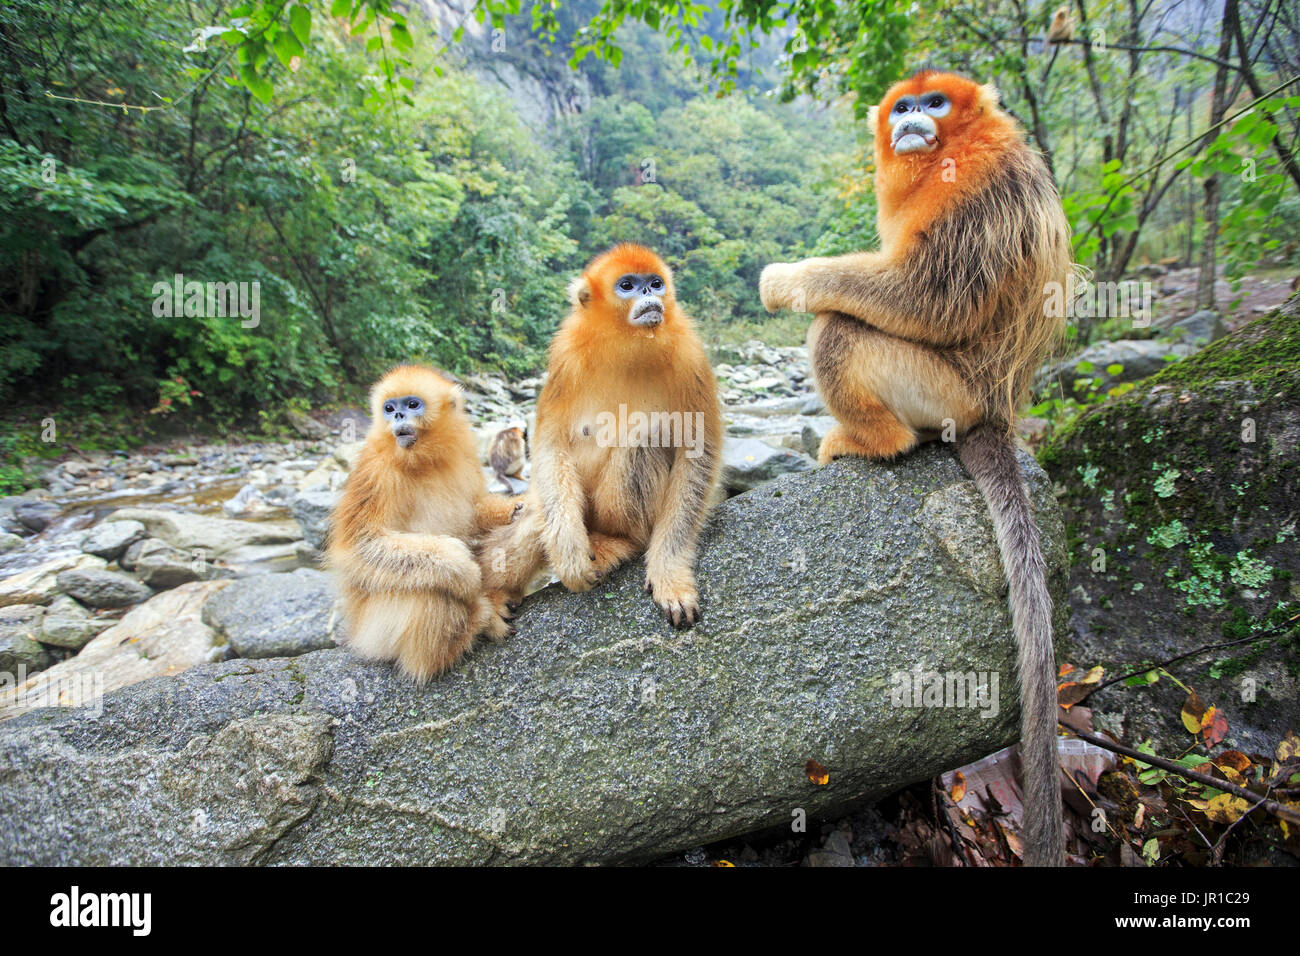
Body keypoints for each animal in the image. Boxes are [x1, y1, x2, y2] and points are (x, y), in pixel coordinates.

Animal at [326, 364, 523, 682]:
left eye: (412, 404)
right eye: (389, 408)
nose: (397, 416)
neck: (421, 460)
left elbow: (474, 510)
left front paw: (514, 508)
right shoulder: (376, 471)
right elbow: (360, 545)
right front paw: (461, 568)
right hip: (375, 630)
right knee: (429, 586)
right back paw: (477, 620)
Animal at [479, 244, 722, 629]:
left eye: (655, 282)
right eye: (627, 285)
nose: (650, 293)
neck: (629, 345)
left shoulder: (691, 356)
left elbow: (698, 455)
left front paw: (669, 574)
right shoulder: (565, 358)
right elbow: (550, 443)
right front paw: (568, 552)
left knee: (644, 439)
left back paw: (619, 541)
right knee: (535, 512)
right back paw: (492, 597)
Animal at [759, 72, 1072, 866]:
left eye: (933, 104)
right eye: (903, 106)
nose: (910, 121)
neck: (951, 154)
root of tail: (997, 412)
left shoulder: (982, 185)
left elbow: (927, 298)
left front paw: (788, 280)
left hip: (946, 391)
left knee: (840, 328)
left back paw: (876, 442)